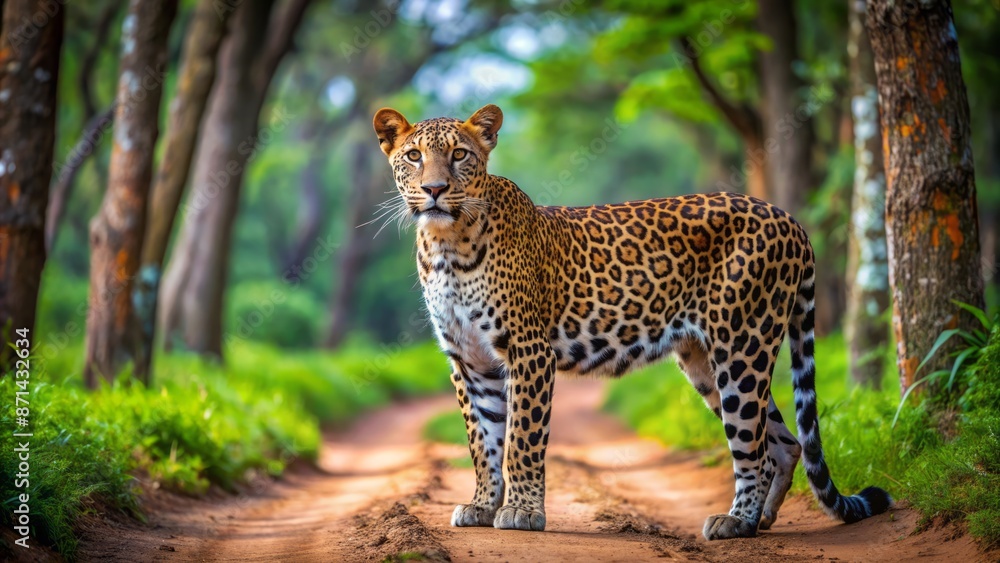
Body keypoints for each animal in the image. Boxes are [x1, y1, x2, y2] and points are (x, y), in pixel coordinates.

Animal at [372, 103, 892, 539]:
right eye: (414, 156)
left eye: (459, 155)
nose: (435, 190)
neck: (445, 246)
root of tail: (789, 218)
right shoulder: (468, 361)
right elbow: (483, 442)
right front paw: (482, 506)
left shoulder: (528, 352)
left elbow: (521, 439)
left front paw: (521, 511)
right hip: (707, 361)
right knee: (783, 443)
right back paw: (760, 519)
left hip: (742, 344)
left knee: (754, 447)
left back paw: (736, 522)